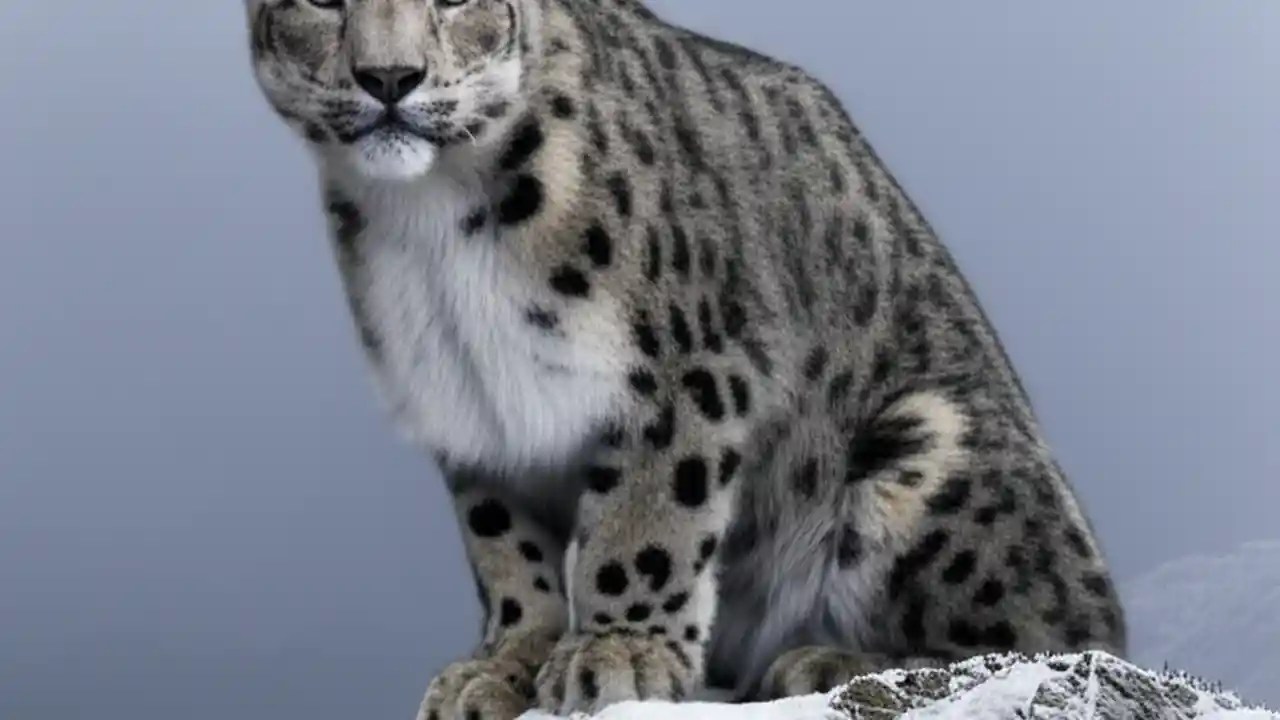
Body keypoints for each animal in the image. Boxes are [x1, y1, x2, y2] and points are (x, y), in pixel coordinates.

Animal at [242, 0, 1128, 717]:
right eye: (320, 1)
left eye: (458, 1)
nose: (389, 77)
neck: (431, 222)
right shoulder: (472, 408)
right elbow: (506, 545)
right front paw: (501, 665)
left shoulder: (682, 367)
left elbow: (647, 515)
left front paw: (618, 651)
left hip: (929, 441)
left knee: (1055, 633)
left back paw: (823, 660)